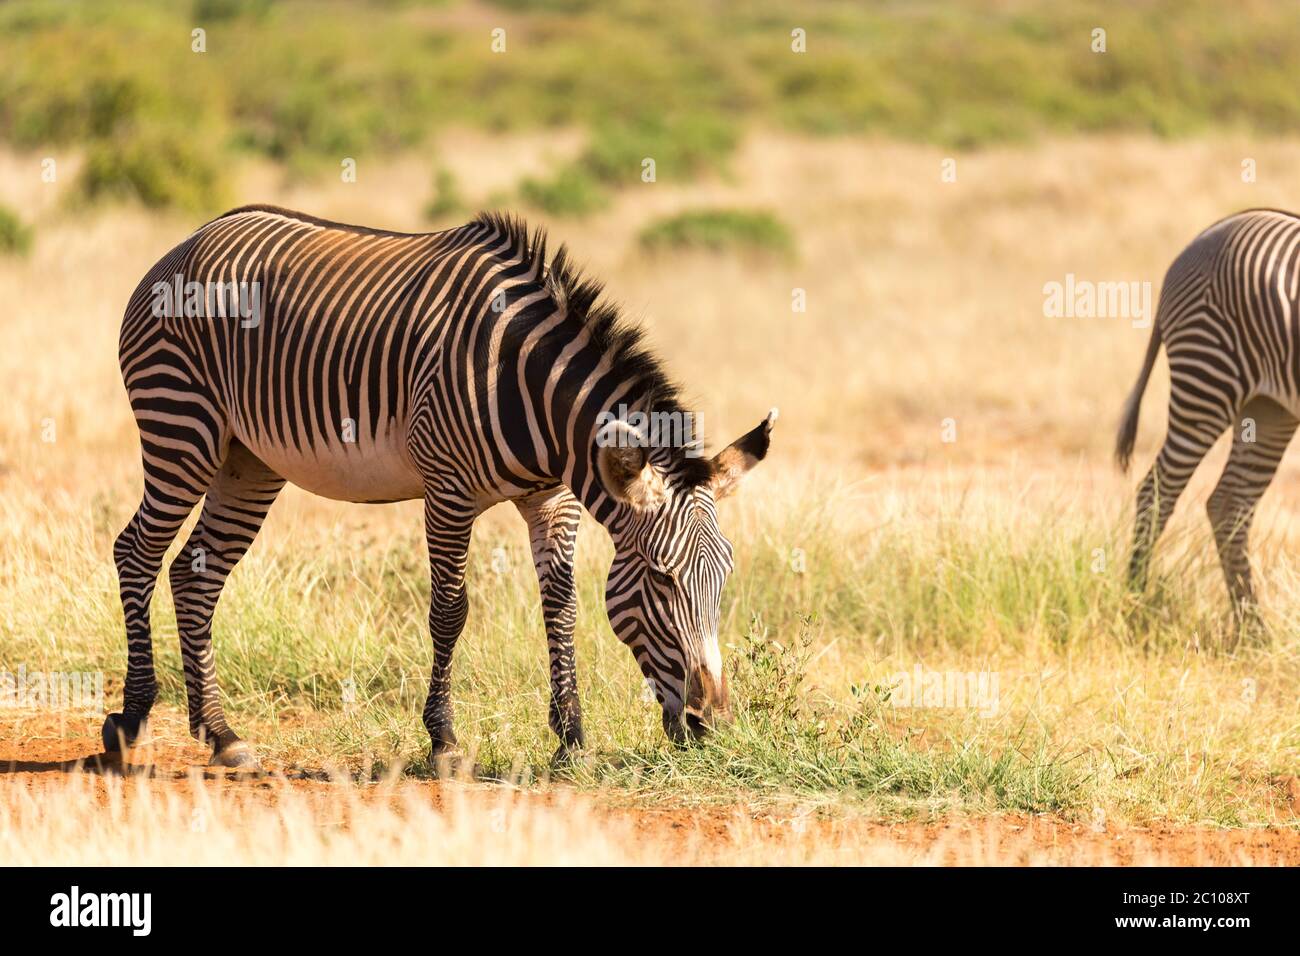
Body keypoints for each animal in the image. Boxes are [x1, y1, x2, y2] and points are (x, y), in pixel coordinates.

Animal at [104, 205, 776, 767]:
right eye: (662, 580)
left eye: (724, 576)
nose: (712, 724)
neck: (529, 391)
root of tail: (188, 242)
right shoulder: (448, 491)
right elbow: (450, 611)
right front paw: (445, 741)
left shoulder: (551, 499)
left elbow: (560, 609)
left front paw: (571, 741)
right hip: (180, 426)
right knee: (135, 551)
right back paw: (131, 719)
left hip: (248, 461)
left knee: (195, 574)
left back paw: (221, 735)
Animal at [1117, 208, 1300, 622]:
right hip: (1206, 385)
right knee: (1155, 492)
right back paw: (1133, 607)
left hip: (1269, 409)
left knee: (1229, 505)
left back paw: (1252, 629)